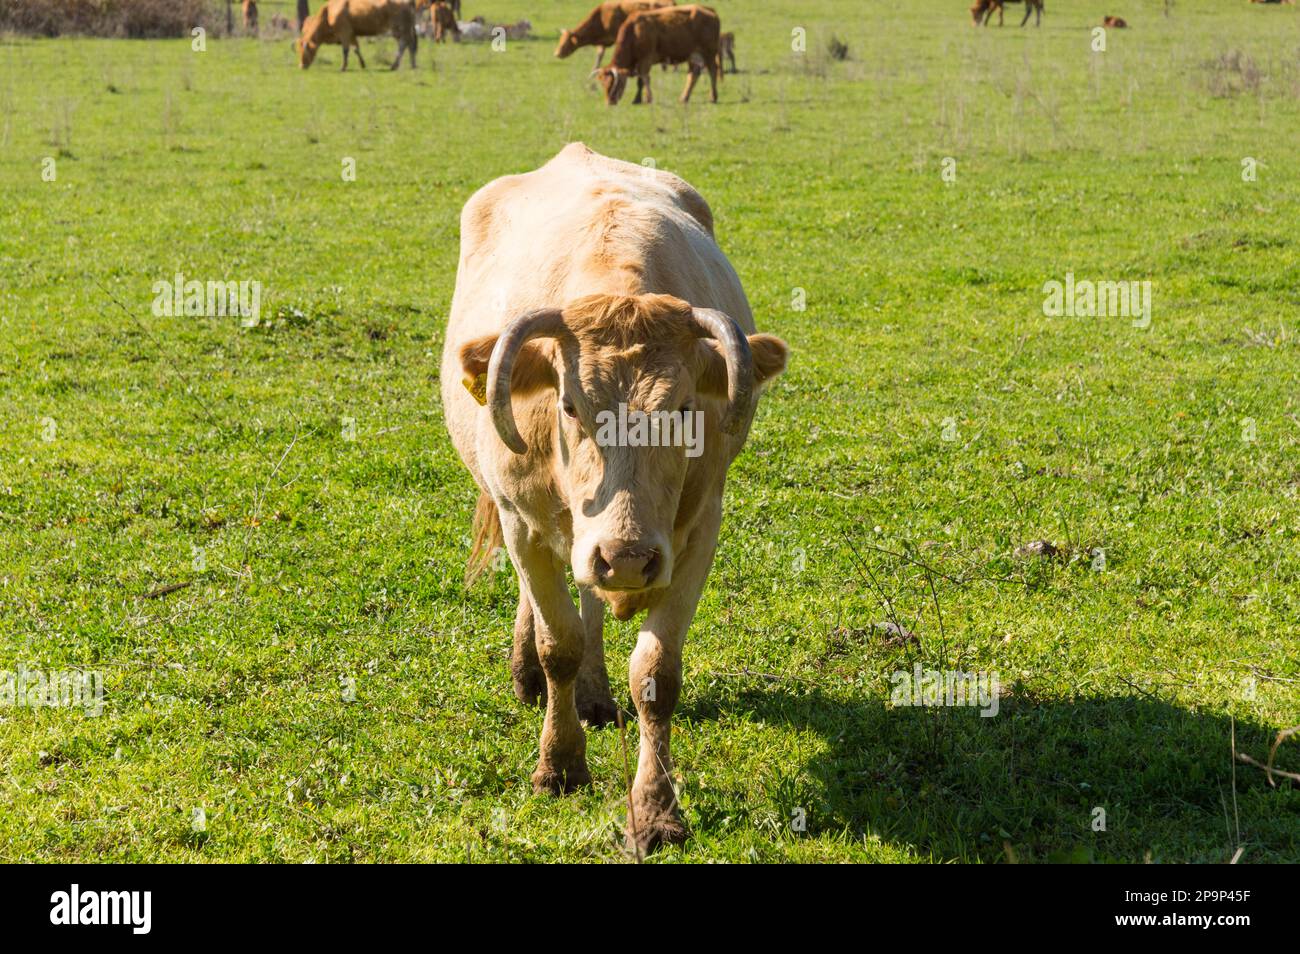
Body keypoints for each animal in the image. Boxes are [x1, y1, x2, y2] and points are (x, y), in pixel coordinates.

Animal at [440, 143, 788, 853]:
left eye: (683, 409)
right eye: (570, 406)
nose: (625, 556)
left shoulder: (698, 531)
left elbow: (655, 672)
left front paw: (655, 811)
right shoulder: (521, 521)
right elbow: (559, 645)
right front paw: (559, 764)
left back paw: (596, 695)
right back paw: (532, 676)